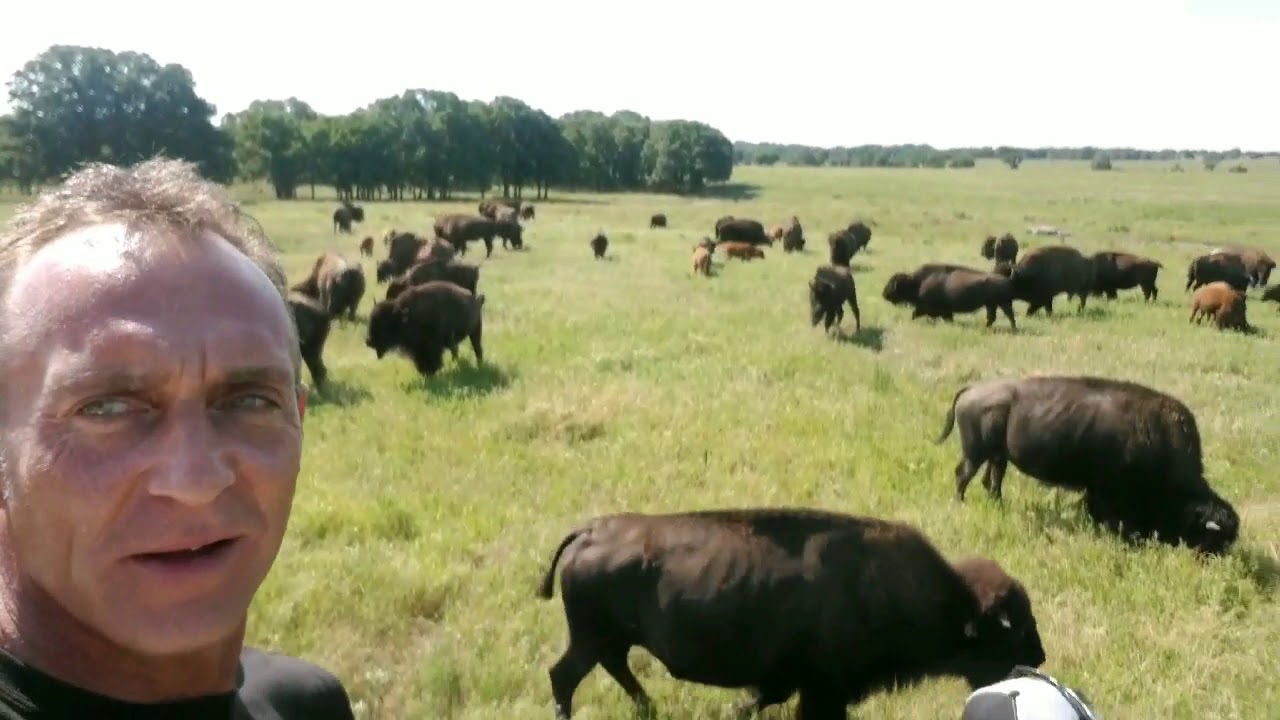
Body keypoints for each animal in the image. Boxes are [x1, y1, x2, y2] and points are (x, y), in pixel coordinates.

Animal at [539, 508, 1046, 719]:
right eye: (1012, 629)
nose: (1038, 657)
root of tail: (591, 530)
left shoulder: (797, 681)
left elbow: (766, 696)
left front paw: (735, 711)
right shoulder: (824, 687)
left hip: (605, 640)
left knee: (609, 669)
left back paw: (649, 709)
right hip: (590, 638)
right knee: (564, 676)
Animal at [883, 264, 1017, 330]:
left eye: (892, 283)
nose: (884, 294)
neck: (917, 282)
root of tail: (1005, 279)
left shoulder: (925, 307)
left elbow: (915, 314)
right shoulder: (945, 311)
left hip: (1000, 303)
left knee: (1008, 315)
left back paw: (1012, 329)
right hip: (992, 304)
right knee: (993, 317)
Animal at [936, 374, 1240, 555]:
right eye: (1213, 539)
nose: (1214, 560)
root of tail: (972, 389)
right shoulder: (1108, 491)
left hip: (998, 456)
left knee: (992, 480)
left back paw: (998, 505)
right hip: (975, 453)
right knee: (963, 475)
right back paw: (961, 504)